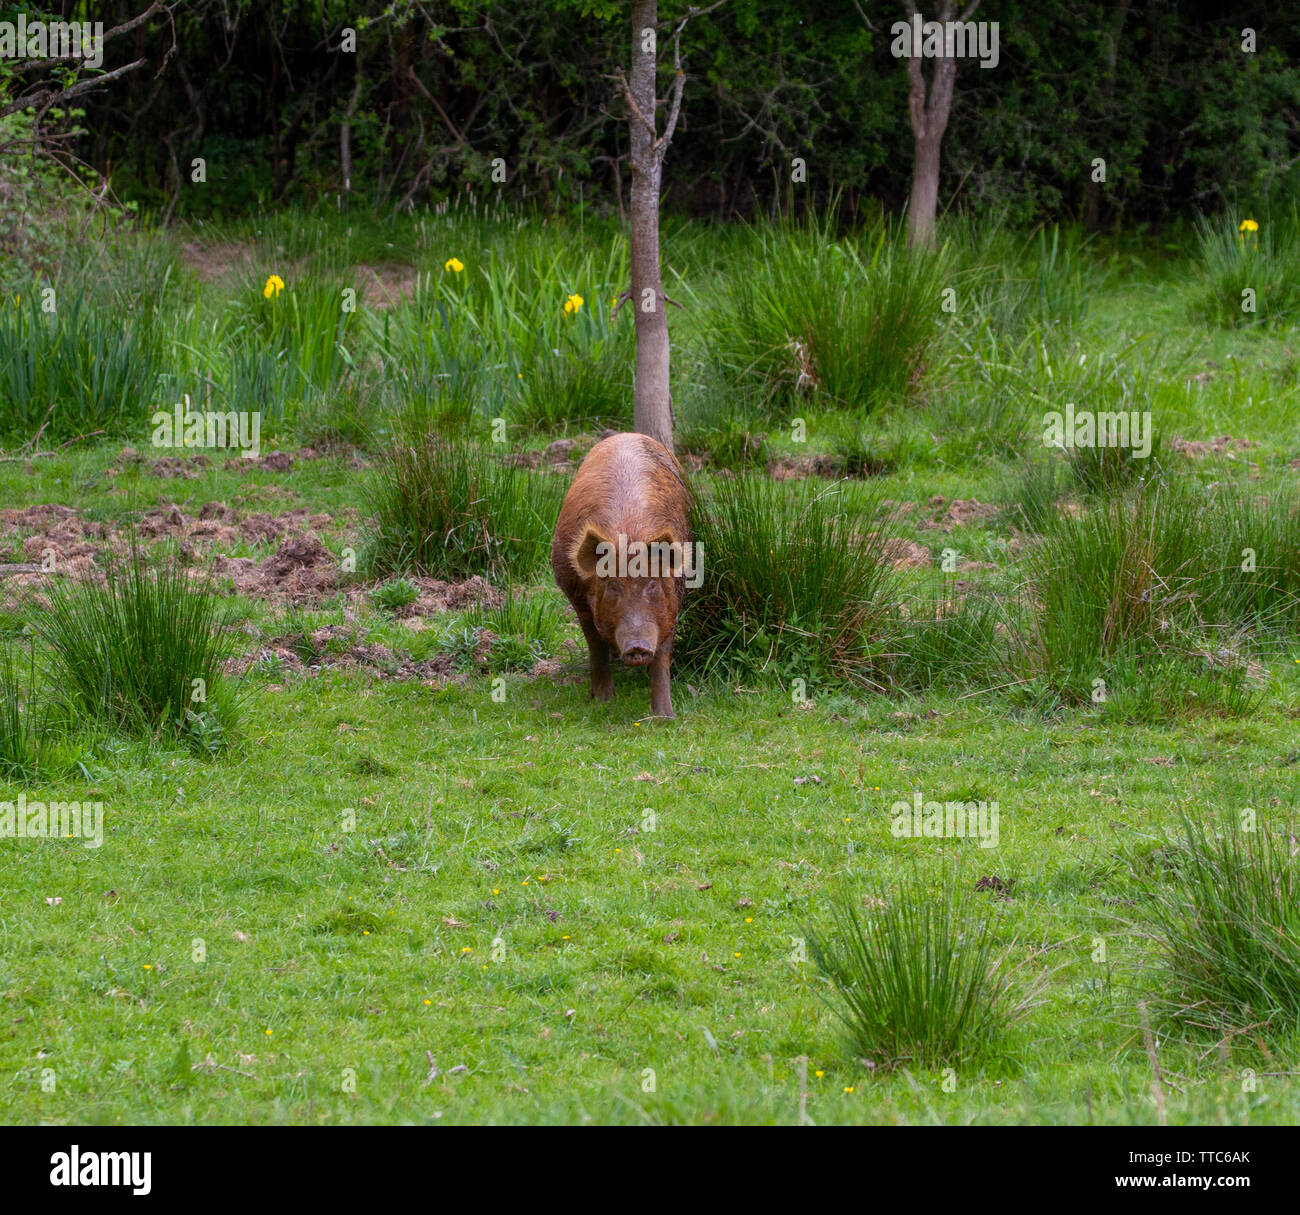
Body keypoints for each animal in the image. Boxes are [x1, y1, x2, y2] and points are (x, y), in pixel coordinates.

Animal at [551, 432, 692, 718]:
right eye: (612, 584)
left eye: (653, 583)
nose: (637, 646)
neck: (629, 532)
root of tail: (627, 433)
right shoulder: (577, 596)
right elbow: (594, 644)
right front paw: (602, 701)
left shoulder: (673, 601)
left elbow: (662, 655)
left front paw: (665, 717)